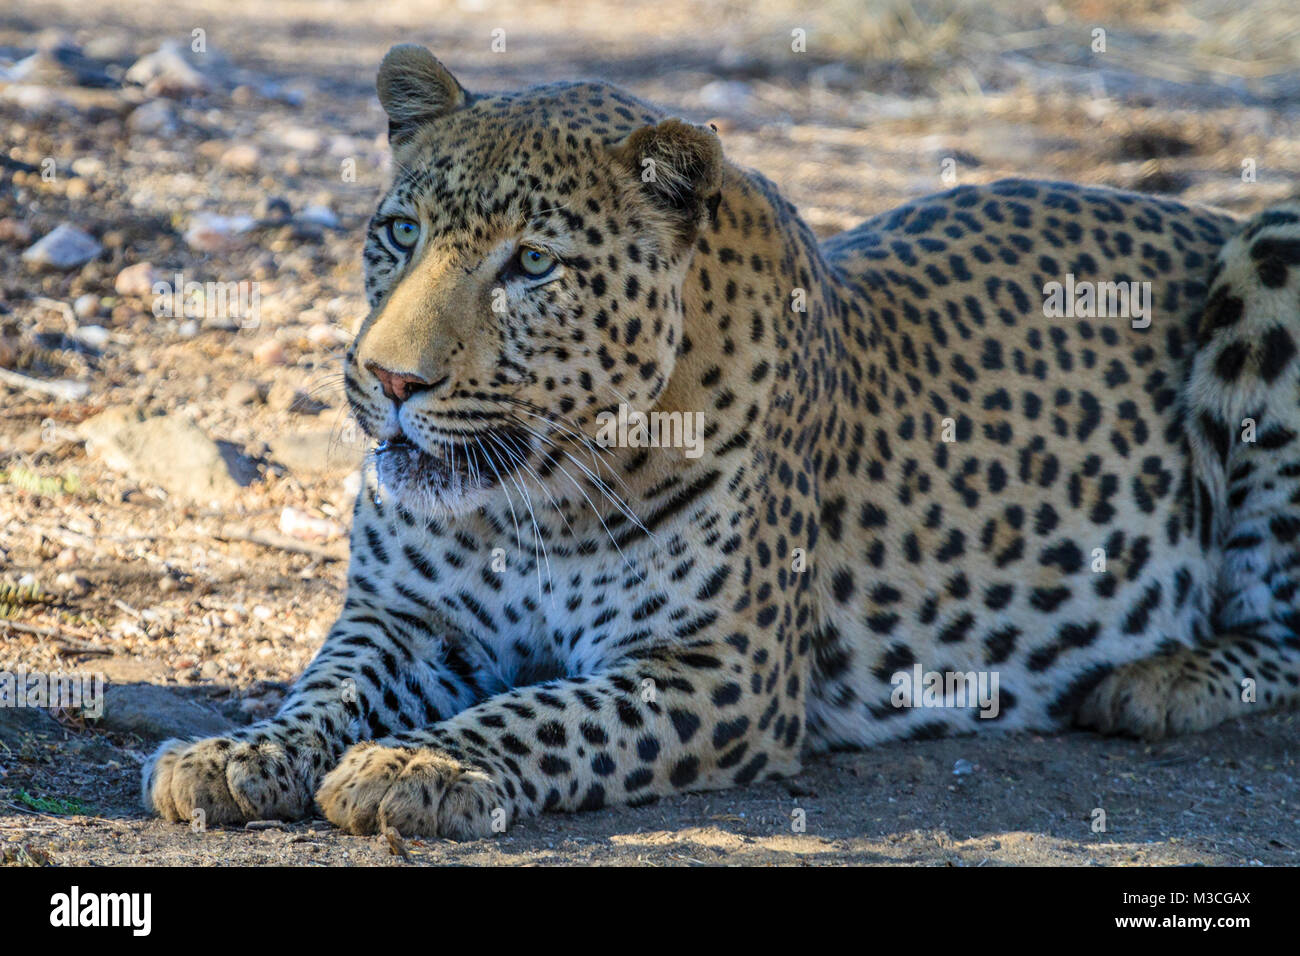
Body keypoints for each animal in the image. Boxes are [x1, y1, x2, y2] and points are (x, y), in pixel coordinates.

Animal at [143, 45, 1300, 840]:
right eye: (399, 232)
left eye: (532, 265)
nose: (387, 380)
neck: (533, 497)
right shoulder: (406, 618)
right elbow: (323, 688)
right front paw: (235, 751)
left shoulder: (715, 667)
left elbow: (539, 711)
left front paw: (415, 767)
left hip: (1270, 250)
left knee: (1282, 631)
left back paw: (1159, 679)